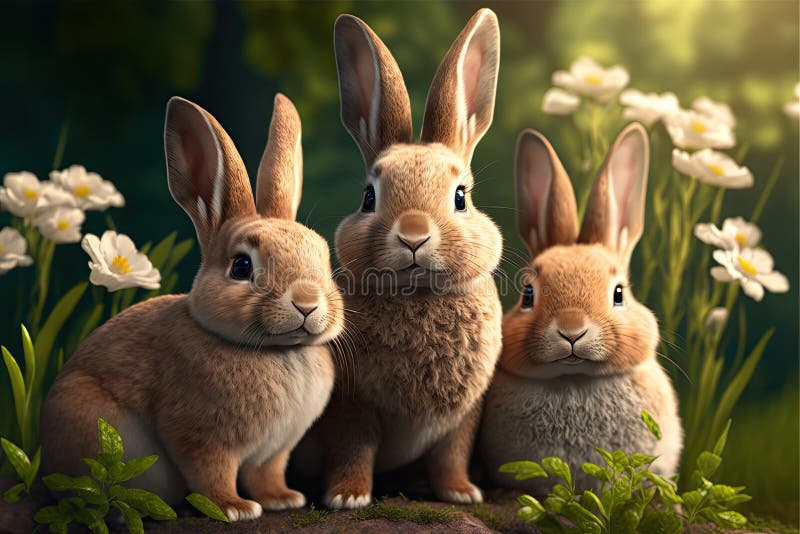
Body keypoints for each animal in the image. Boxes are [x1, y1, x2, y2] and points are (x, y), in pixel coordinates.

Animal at [40, 94, 344, 521]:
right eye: (241, 266)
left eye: (322, 258)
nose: (307, 303)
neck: (277, 351)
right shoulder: (200, 437)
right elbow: (211, 474)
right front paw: (234, 509)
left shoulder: (273, 452)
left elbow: (266, 475)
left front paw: (283, 499)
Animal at [318, 8, 503, 509]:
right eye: (368, 197)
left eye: (461, 197)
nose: (414, 237)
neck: (418, 294)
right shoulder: (352, 407)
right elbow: (353, 451)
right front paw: (347, 497)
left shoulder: (463, 417)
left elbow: (451, 456)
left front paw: (462, 493)